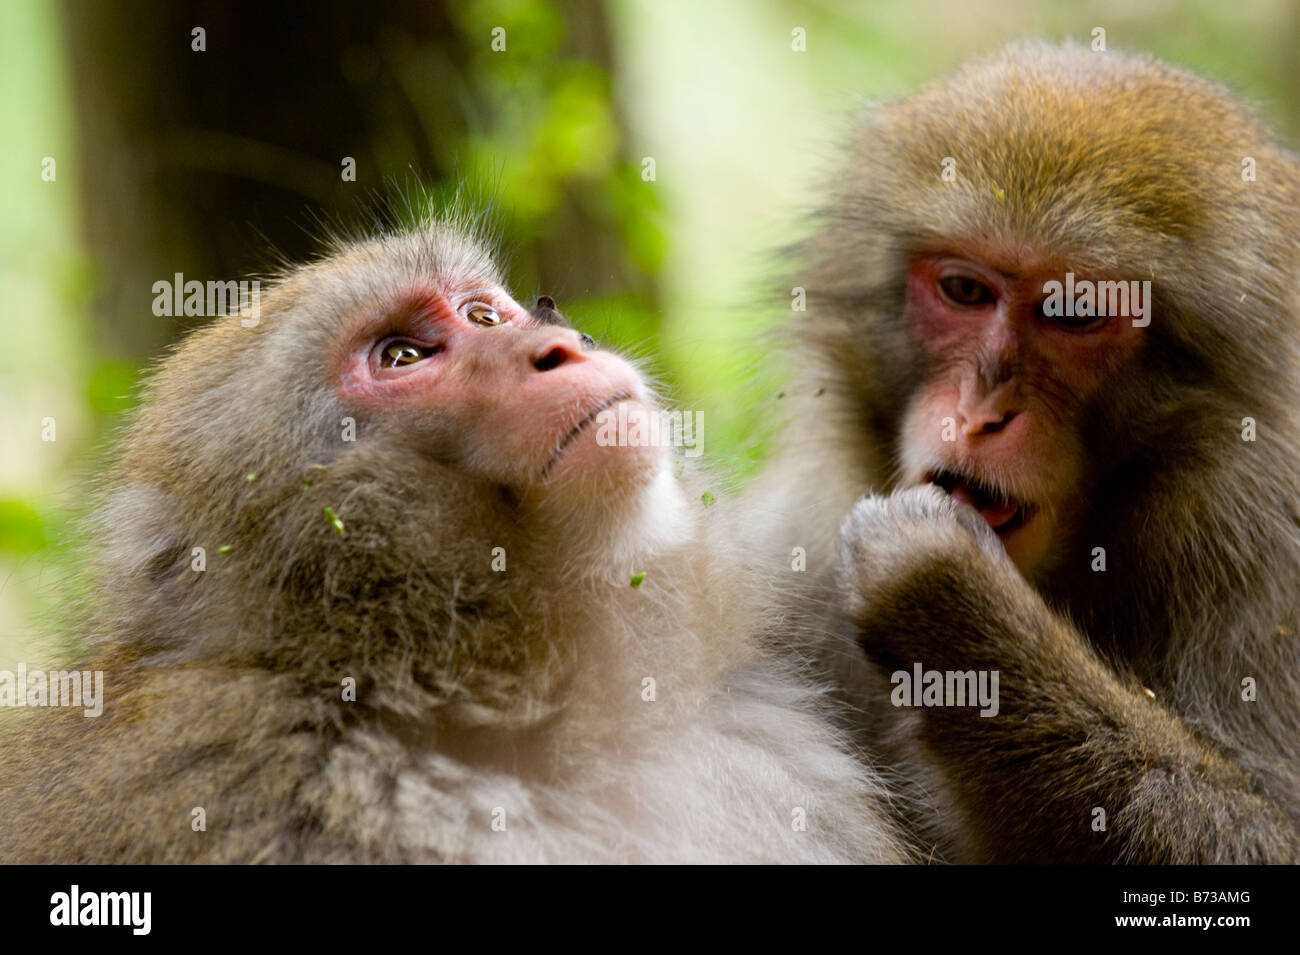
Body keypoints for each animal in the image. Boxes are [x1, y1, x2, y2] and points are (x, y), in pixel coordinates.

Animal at [748, 42, 1300, 863]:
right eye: (965, 291)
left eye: (1073, 311)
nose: (981, 413)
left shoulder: (1271, 549)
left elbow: (1269, 830)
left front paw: (951, 606)